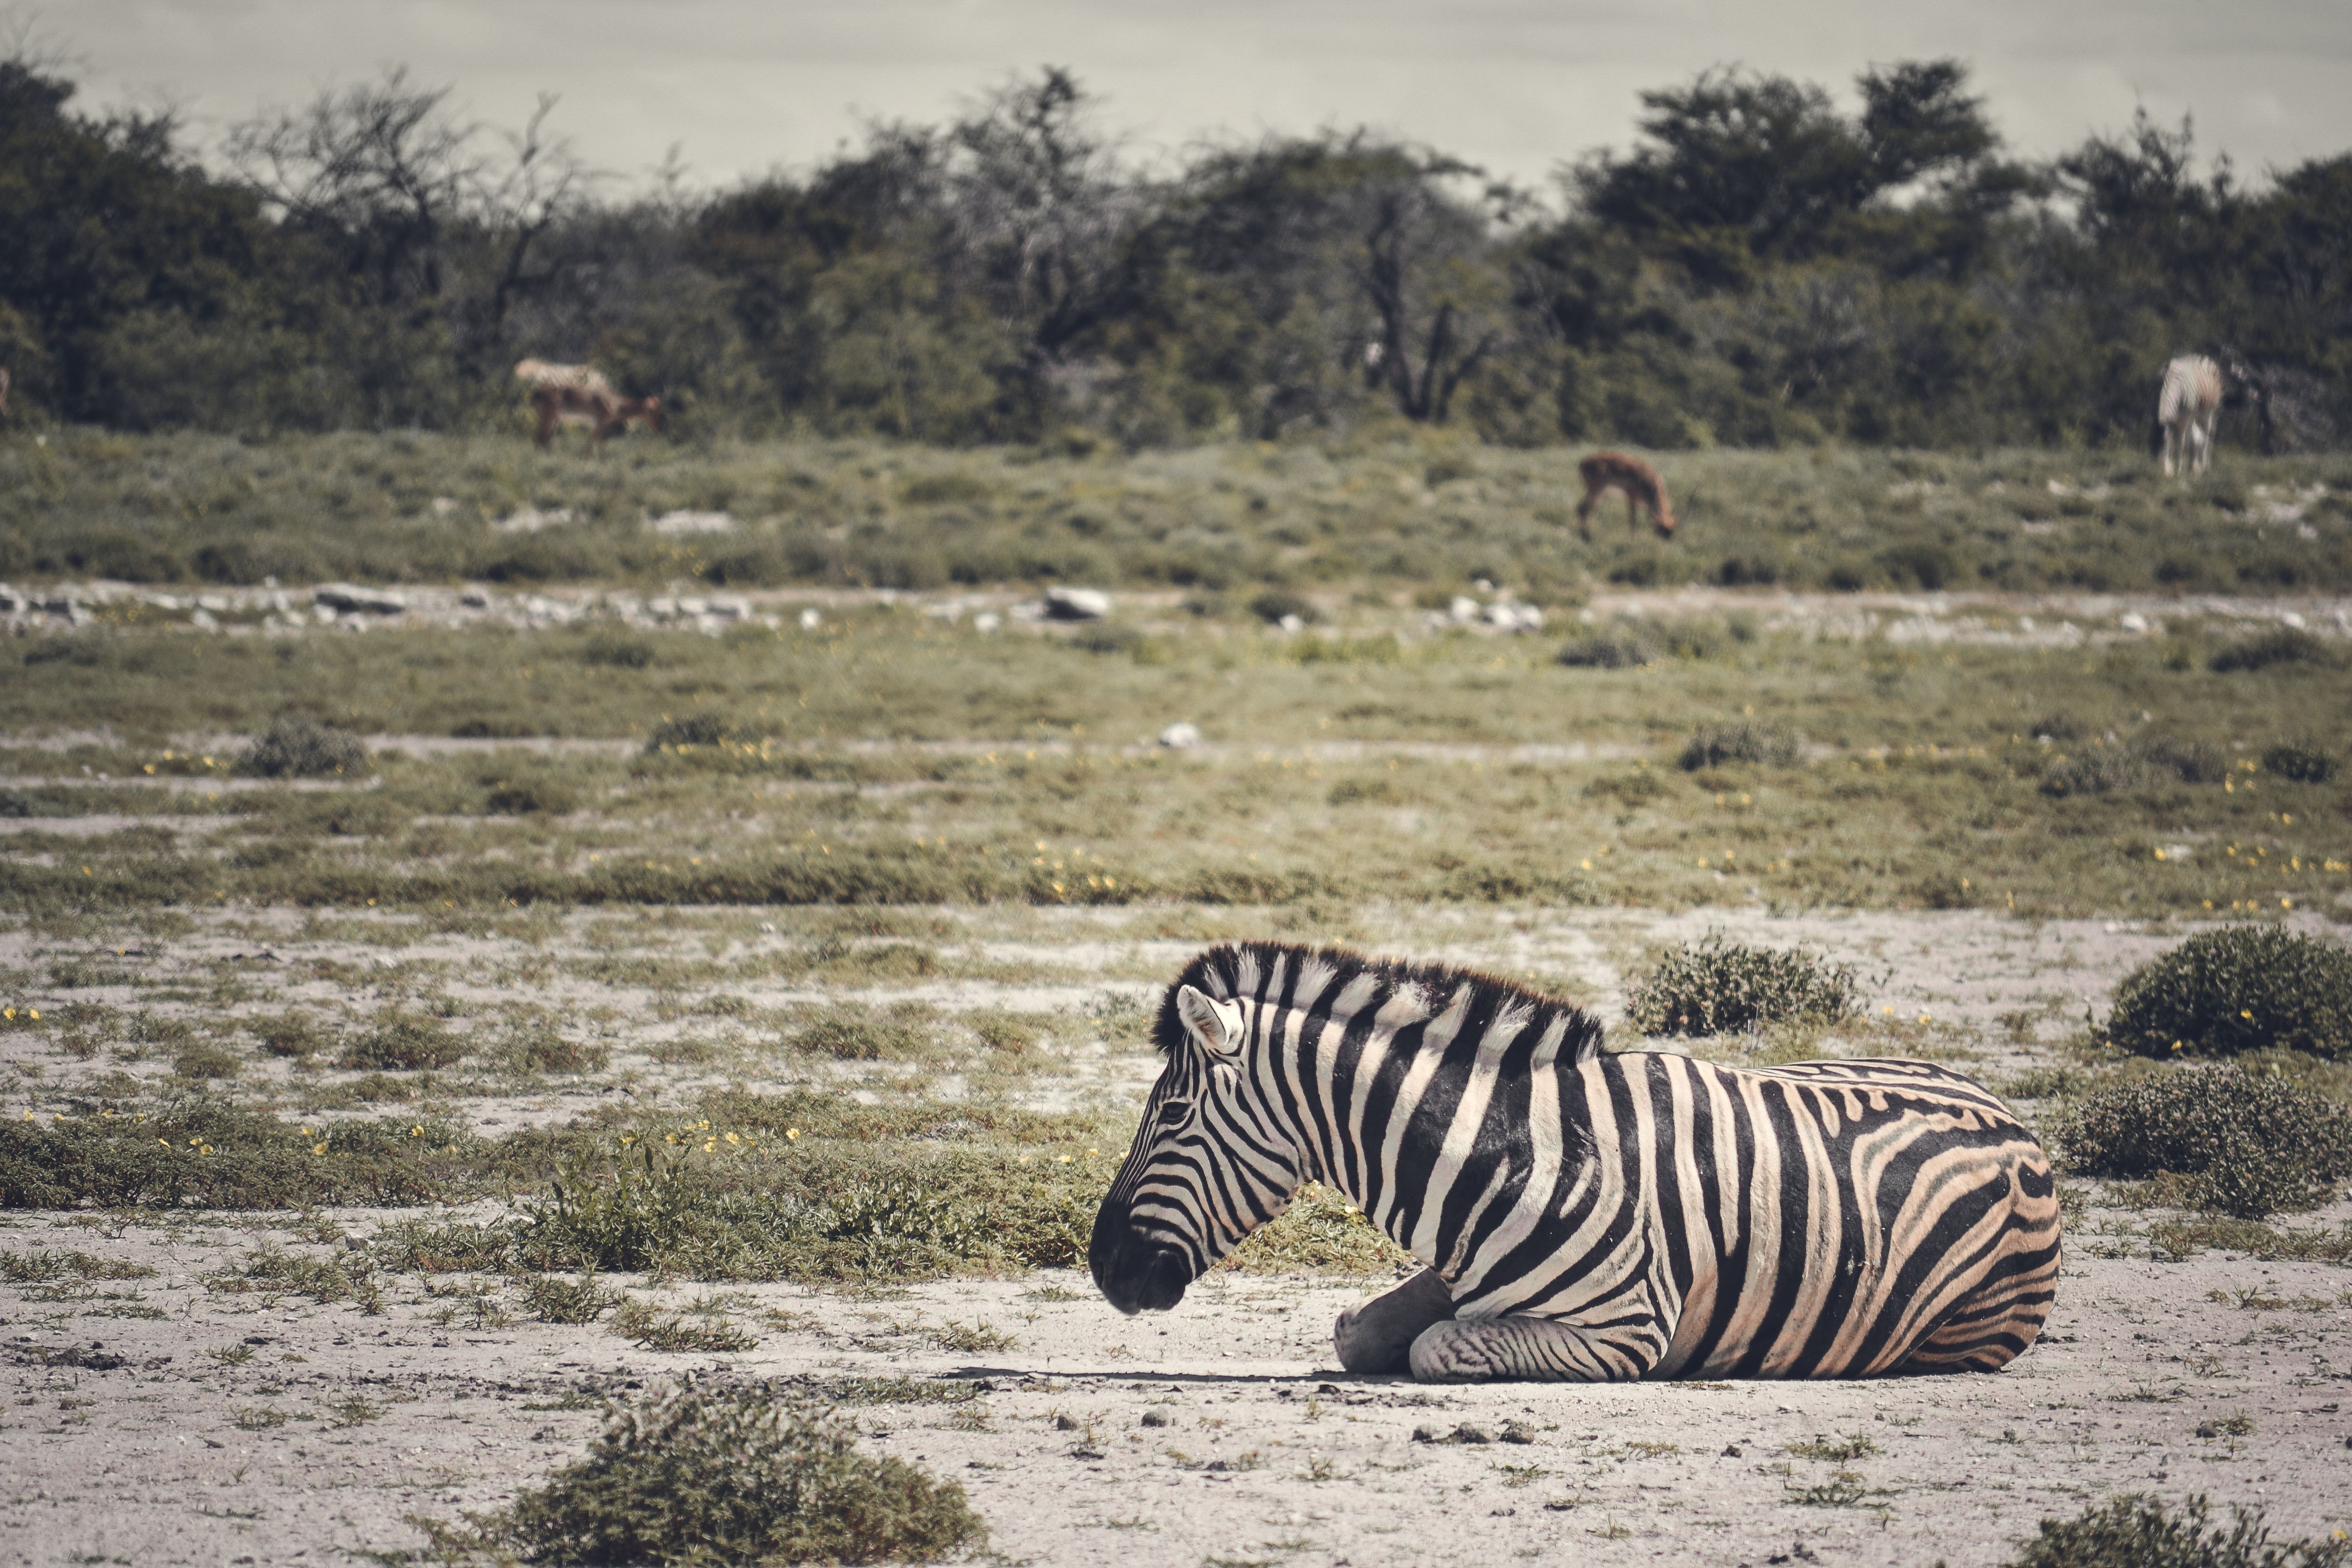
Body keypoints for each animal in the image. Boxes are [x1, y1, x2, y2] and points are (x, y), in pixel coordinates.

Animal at [1090, 942, 2061, 1382]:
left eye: (1170, 1115)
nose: (1100, 1266)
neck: (1506, 1153)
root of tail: (2009, 1114)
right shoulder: (1453, 1278)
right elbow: (1358, 1328)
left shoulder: (1625, 1326)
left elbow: (1436, 1347)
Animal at [2155, 354, 2223, 478]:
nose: (2158, 461)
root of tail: (2198, 357)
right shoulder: (2173, 420)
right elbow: (2173, 440)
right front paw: (2169, 470)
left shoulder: (2187, 418)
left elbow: (2183, 443)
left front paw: (2180, 469)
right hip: (2196, 416)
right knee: (2199, 437)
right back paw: (2196, 466)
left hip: (2209, 413)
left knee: (2207, 437)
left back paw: (2204, 466)